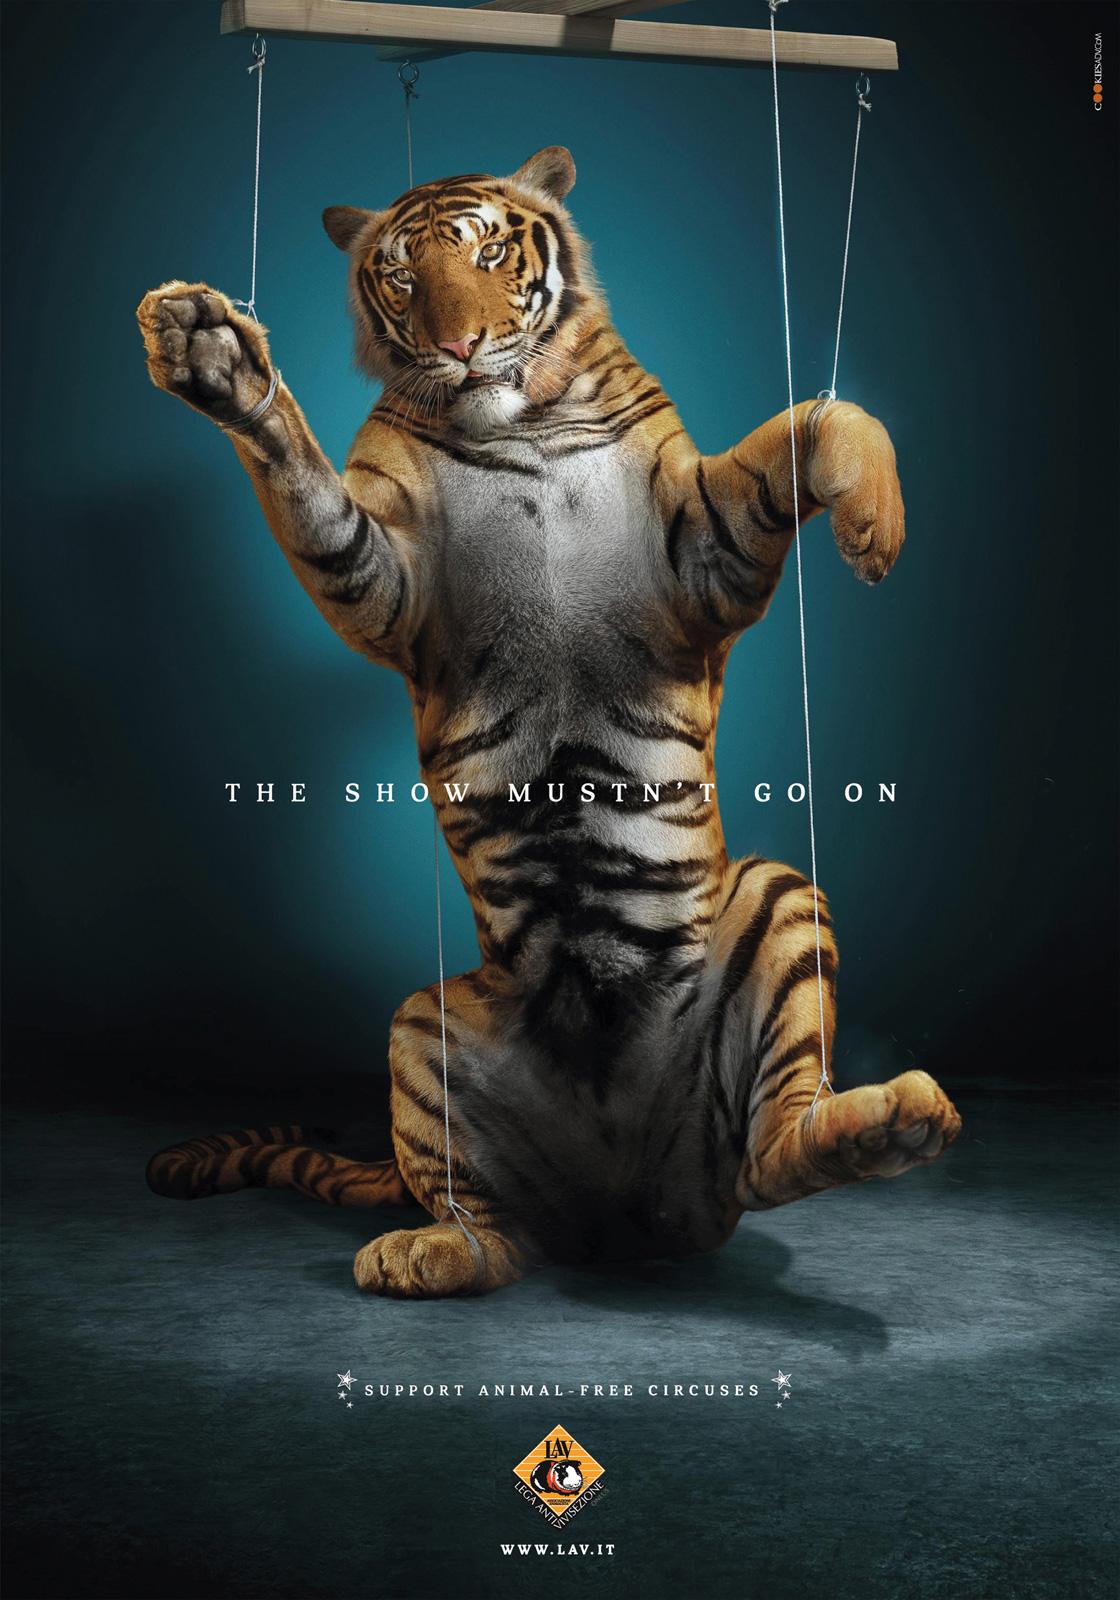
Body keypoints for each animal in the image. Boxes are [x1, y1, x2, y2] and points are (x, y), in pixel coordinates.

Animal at [137, 145, 961, 1298]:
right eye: (401, 277)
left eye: (488, 253)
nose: (459, 345)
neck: (516, 420)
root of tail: (629, 1213)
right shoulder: (395, 583)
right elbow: (309, 495)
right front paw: (216, 360)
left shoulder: (698, 554)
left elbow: (821, 419)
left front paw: (875, 530)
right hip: (423, 1022)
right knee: (493, 1225)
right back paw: (430, 1250)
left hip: (778, 896)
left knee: (774, 1150)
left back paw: (886, 1123)